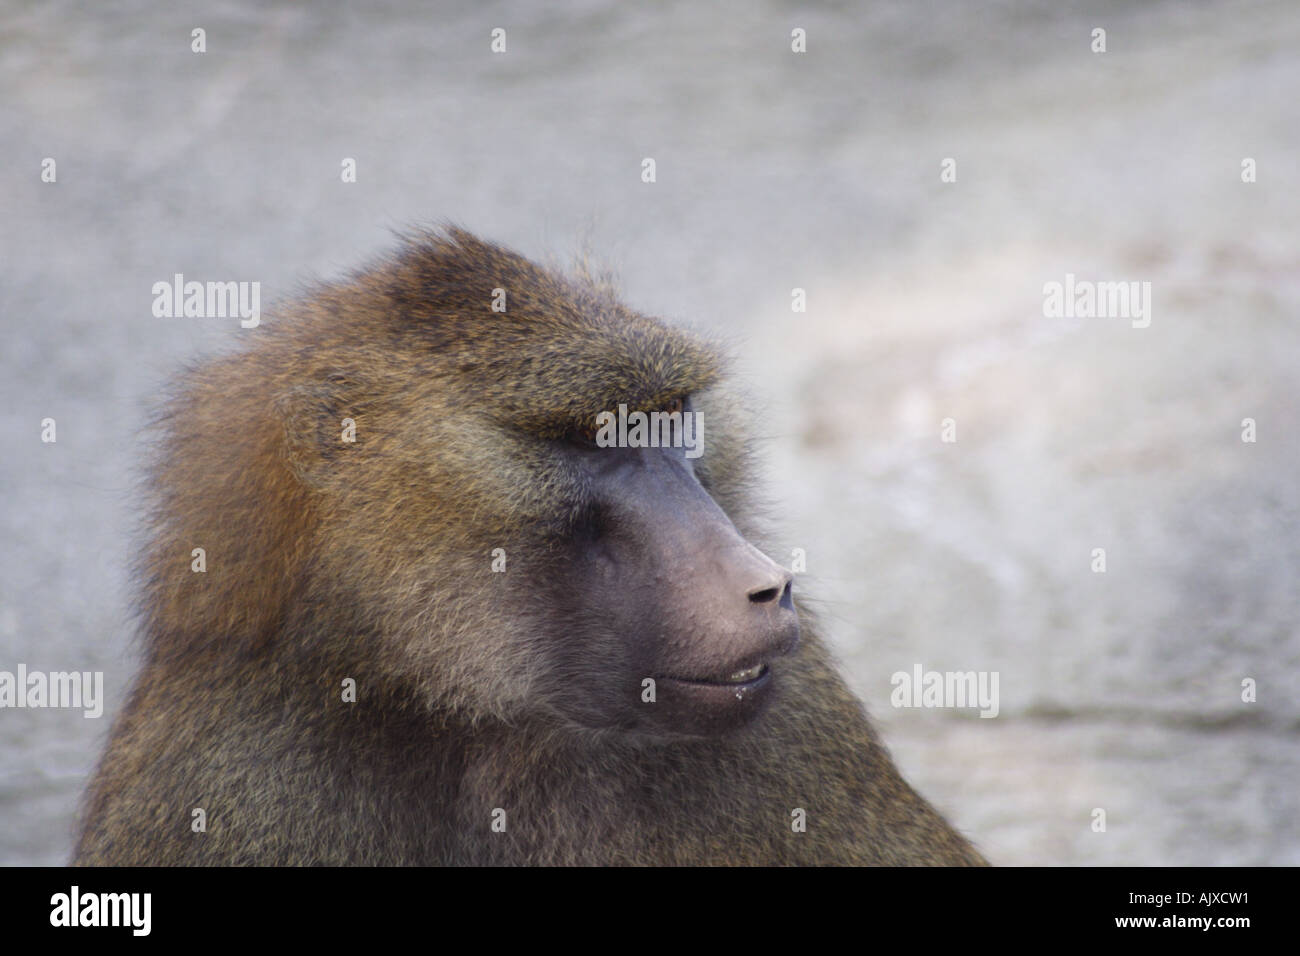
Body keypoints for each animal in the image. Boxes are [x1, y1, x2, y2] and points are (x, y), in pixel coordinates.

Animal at [73, 227, 987, 866]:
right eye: (588, 440)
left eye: (669, 419)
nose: (764, 585)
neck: (463, 712)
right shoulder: (224, 758)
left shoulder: (799, 725)